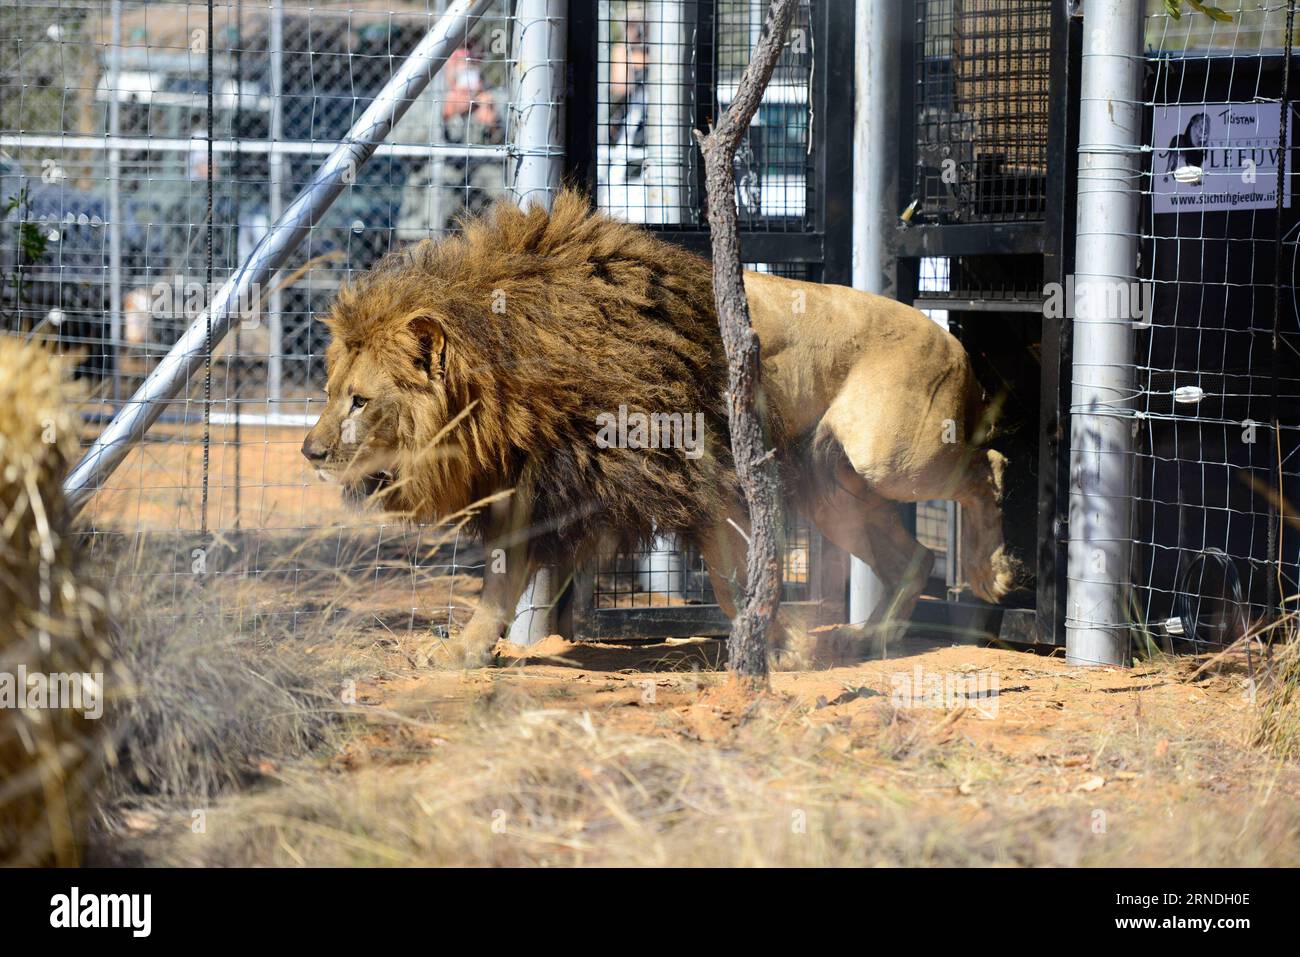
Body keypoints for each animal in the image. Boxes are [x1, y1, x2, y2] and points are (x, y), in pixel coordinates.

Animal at [302, 191, 1014, 666]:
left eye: (360, 402)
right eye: (331, 392)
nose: (311, 451)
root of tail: (947, 335)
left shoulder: (696, 470)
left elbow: (733, 577)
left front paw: (775, 647)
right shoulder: (538, 482)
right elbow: (499, 581)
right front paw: (467, 652)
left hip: (886, 456)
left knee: (988, 467)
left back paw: (991, 574)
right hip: (832, 483)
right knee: (916, 556)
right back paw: (870, 637)